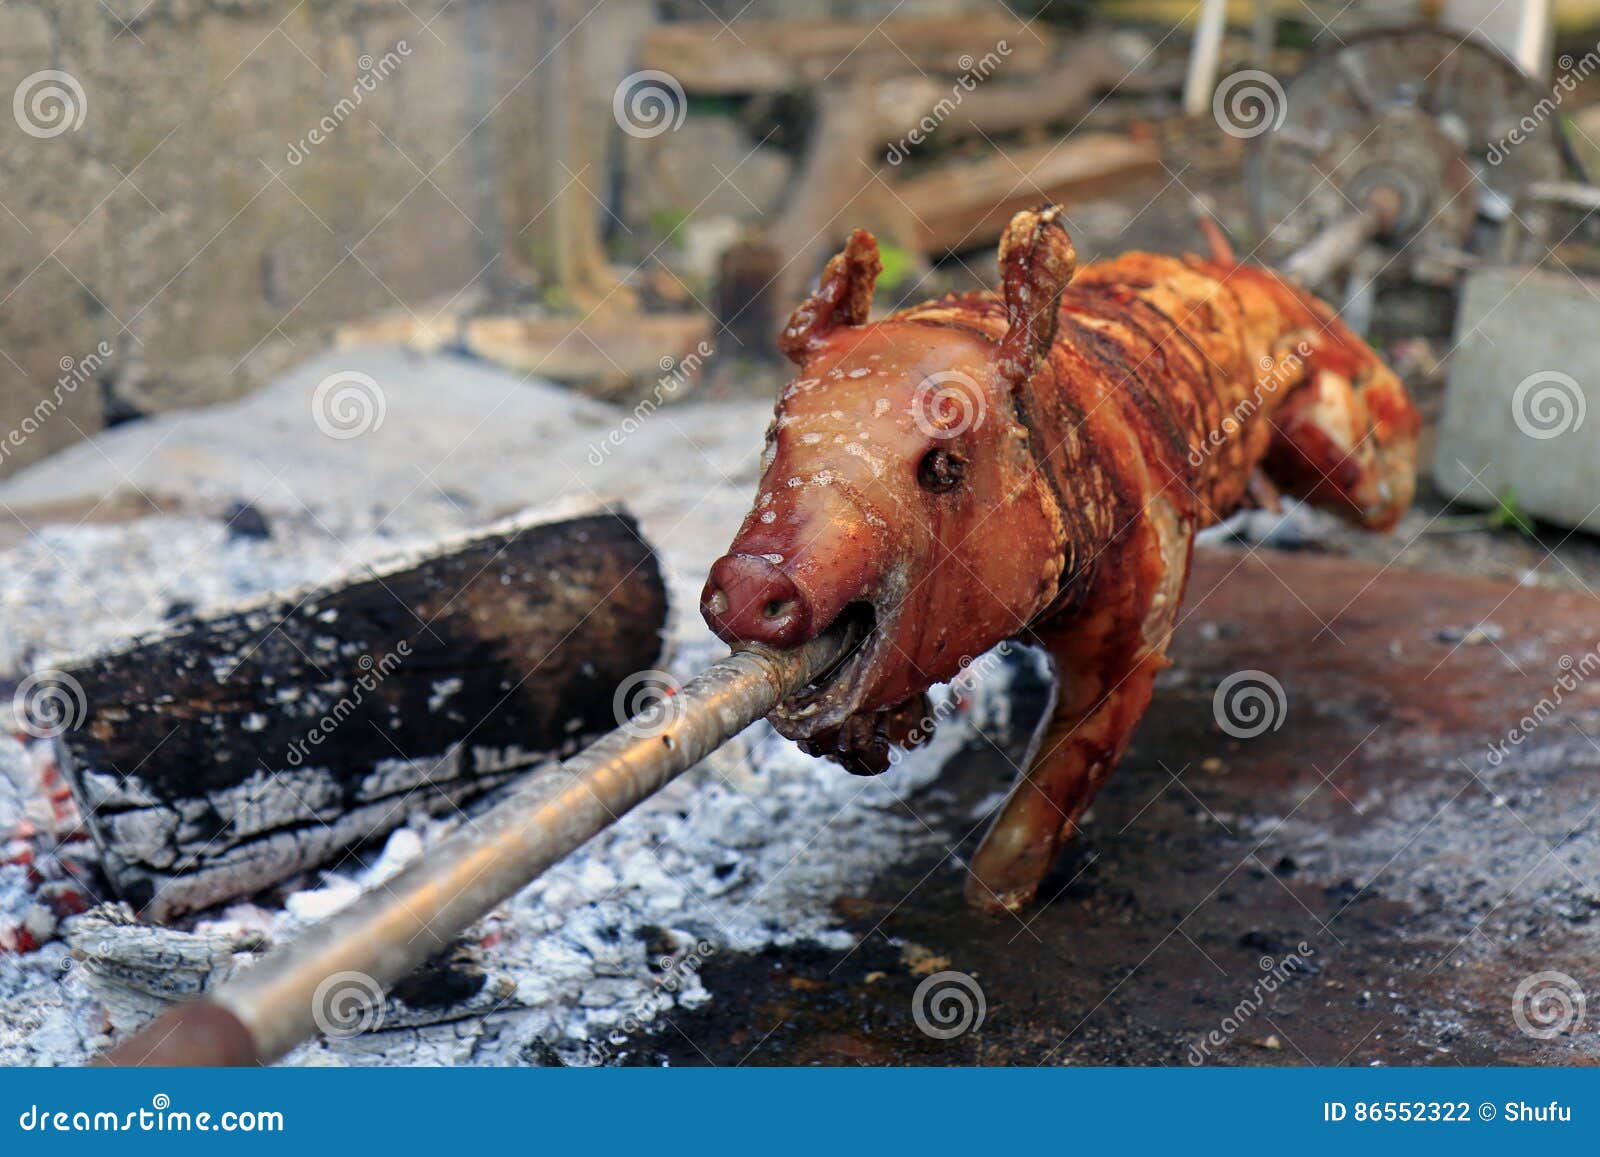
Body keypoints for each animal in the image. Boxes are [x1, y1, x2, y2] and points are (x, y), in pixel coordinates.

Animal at [701, 205, 1419, 915]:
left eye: (943, 467)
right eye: (773, 437)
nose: (750, 583)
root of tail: (1238, 270)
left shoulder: (1136, 624)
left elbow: (1053, 787)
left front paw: (992, 900)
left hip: (1351, 453)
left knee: (1387, 481)